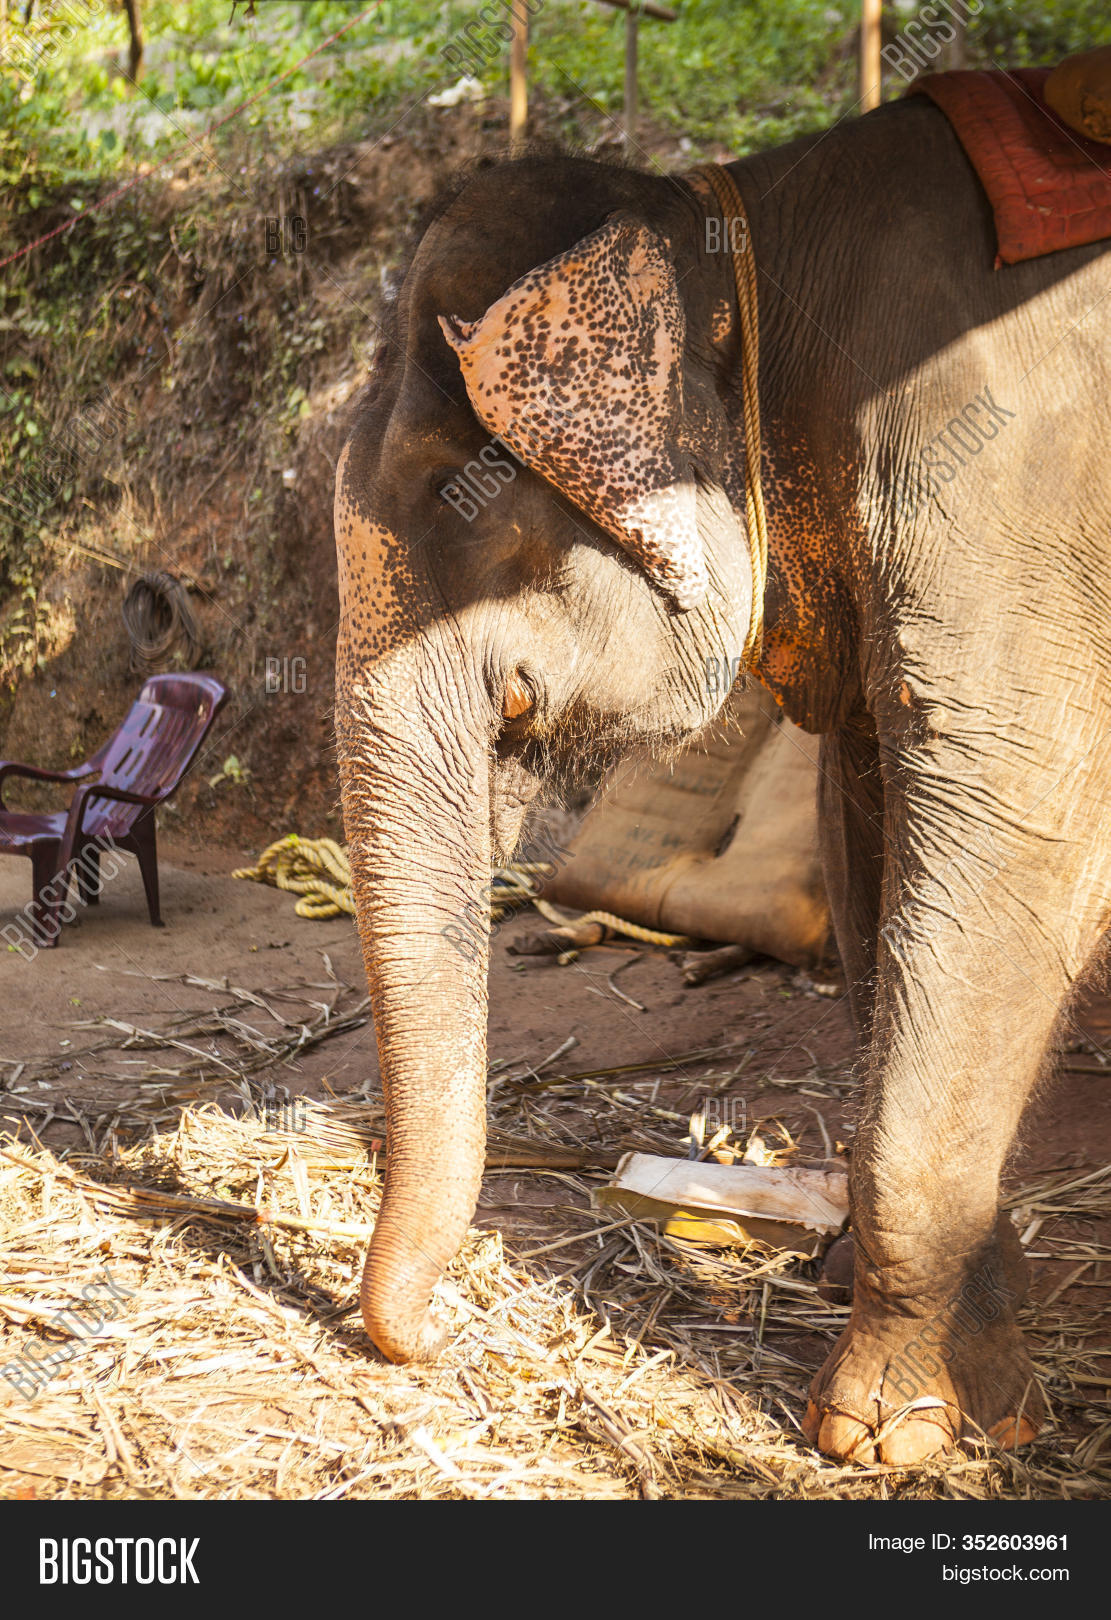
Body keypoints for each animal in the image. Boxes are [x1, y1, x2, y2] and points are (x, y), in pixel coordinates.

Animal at [334, 95, 1111, 1465]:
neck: (744, 231)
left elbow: (1012, 817)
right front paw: (977, 1392)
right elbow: (872, 830)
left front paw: (882, 1435)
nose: (426, 1339)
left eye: (467, 505)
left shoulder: (1010, 491)